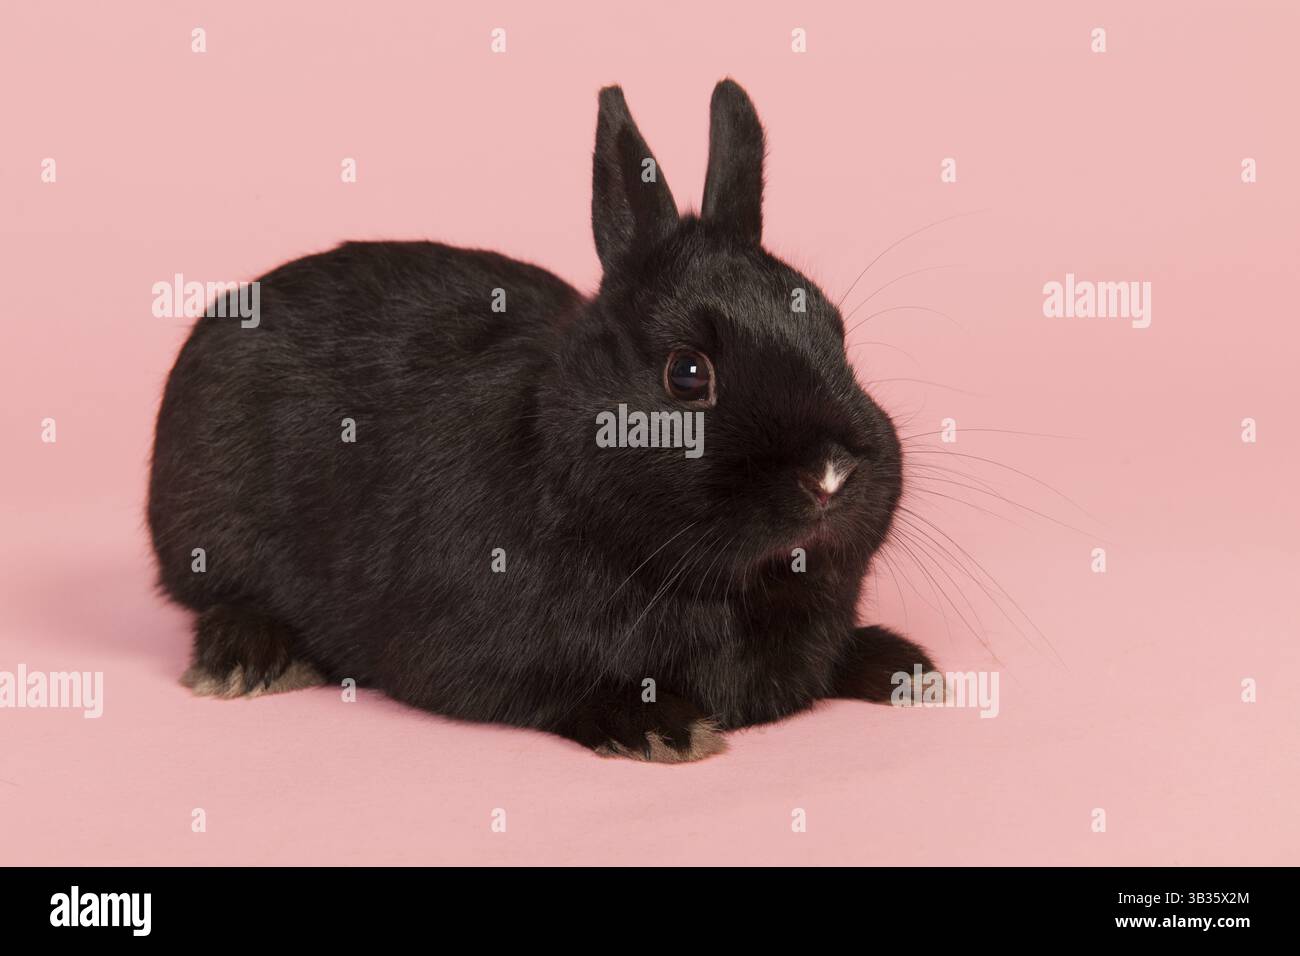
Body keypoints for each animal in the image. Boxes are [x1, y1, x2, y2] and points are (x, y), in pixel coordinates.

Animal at [147, 79, 937, 762]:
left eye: (835, 332)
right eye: (687, 373)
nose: (831, 474)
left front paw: (904, 666)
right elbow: (552, 690)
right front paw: (661, 727)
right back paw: (244, 658)